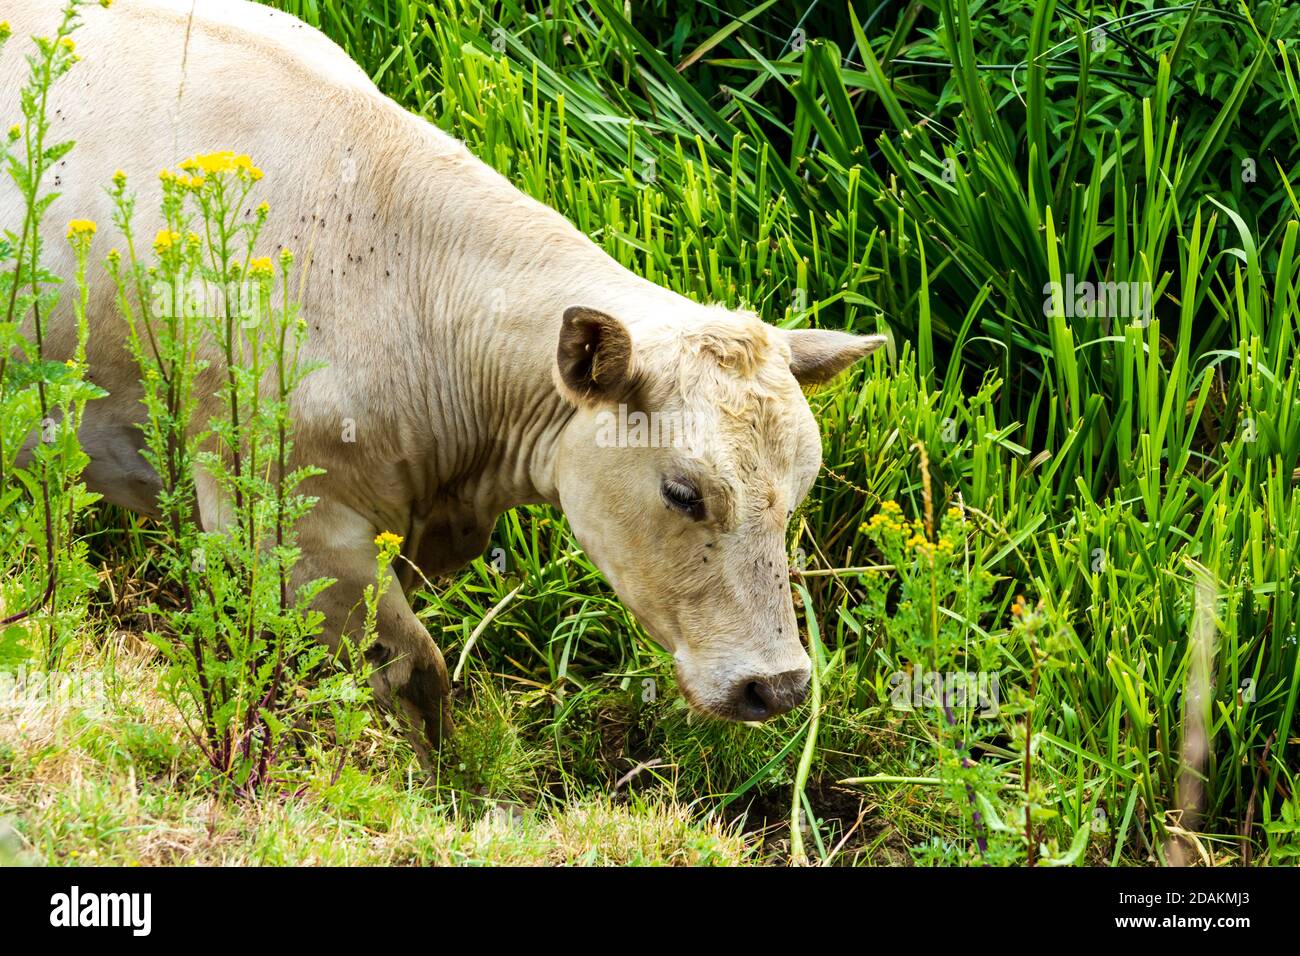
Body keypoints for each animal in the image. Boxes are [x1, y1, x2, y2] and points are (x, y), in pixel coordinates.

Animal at [1, 0, 884, 759]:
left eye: (800, 490)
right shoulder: (289, 524)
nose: (779, 685)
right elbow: (416, 673)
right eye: (683, 492)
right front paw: (440, 791)